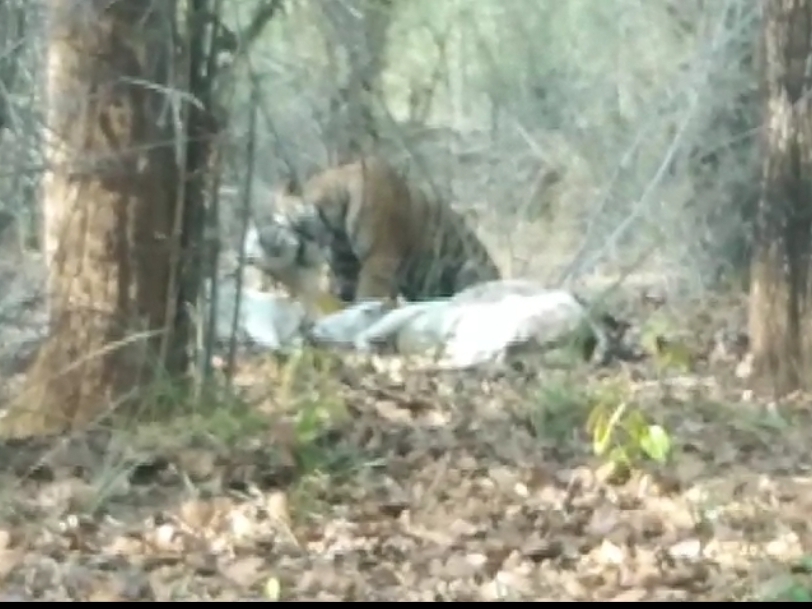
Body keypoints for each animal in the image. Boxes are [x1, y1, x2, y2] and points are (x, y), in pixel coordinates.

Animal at [271, 156, 502, 303]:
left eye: (281, 218)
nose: (274, 242)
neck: (336, 227)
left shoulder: (379, 260)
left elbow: (368, 295)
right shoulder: (345, 266)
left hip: (470, 267)